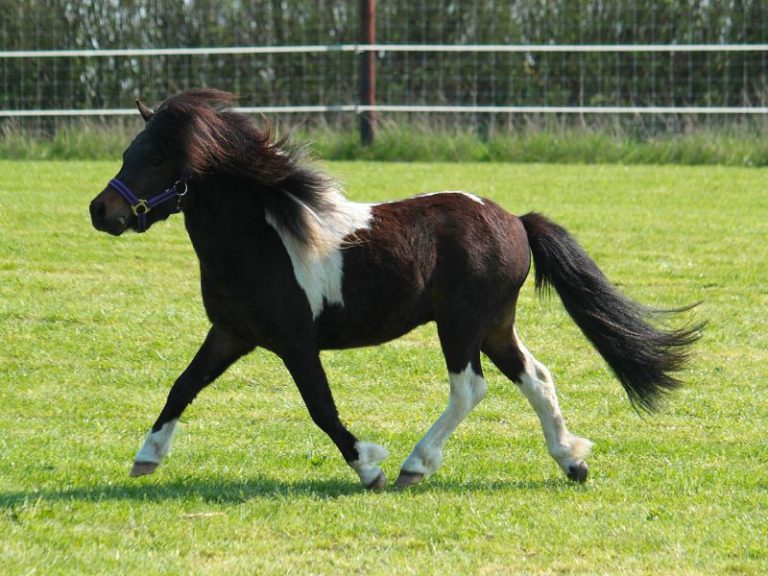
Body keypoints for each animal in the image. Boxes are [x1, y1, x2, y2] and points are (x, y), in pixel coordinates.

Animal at [89, 89, 701, 490]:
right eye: (128, 153)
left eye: (156, 157)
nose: (101, 210)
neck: (261, 239)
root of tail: (514, 221)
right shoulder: (231, 334)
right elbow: (183, 386)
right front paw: (147, 456)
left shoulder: (294, 342)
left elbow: (321, 407)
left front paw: (370, 466)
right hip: (494, 325)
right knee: (537, 377)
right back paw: (572, 461)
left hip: (461, 324)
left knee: (469, 389)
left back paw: (415, 464)